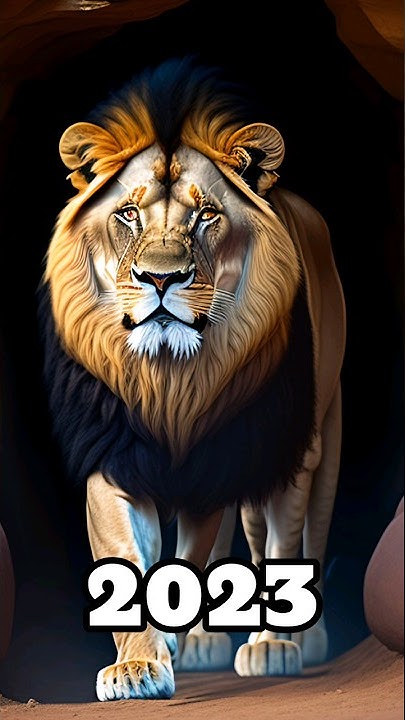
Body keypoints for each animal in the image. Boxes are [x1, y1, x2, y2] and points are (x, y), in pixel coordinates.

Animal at [39, 56, 346, 700]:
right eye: (127, 213)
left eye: (206, 215)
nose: (161, 279)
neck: (171, 381)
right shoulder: (113, 451)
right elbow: (129, 554)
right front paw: (138, 666)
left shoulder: (232, 453)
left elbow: (243, 546)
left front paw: (271, 644)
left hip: (312, 441)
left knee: (297, 531)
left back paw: (293, 643)